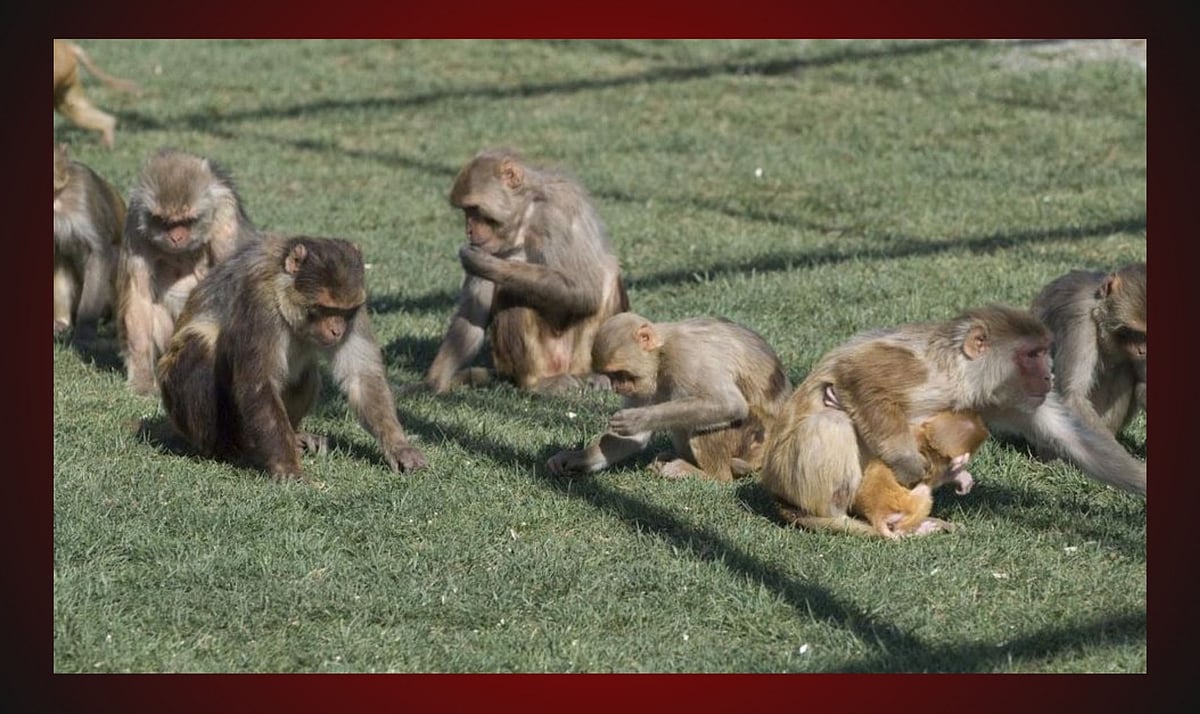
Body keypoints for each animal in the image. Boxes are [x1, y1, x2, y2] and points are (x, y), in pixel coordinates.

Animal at [118, 149, 258, 395]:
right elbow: (139, 297)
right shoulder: (136, 221)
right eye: (164, 221)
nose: (176, 237)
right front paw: (143, 378)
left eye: (188, 220)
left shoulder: (225, 218)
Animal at [157, 234, 428, 482]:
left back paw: (295, 436)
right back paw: (235, 449)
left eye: (343, 311)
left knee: (306, 373)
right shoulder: (260, 302)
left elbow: (361, 376)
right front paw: (287, 466)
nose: (337, 330)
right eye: (324, 308)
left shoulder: (357, 307)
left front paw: (399, 447)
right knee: (200, 345)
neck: (283, 291)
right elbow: (260, 384)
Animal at [423, 149, 630, 395]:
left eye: (474, 209)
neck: (526, 218)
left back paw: (585, 375)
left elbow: (586, 290)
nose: (469, 230)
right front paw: (432, 383)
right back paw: (534, 382)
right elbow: (473, 314)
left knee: (605, 274)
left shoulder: (560, 211)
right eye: (465, 211)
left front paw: (490, 266)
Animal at [546, 312, 792, 482]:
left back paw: (708, 475)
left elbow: (729, 404)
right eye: (611, 376)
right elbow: (632, 439)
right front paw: (574, 458)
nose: (617, 387)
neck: (661, 355)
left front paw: (639, 418)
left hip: (751, 440)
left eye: (621, 374)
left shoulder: (687, 356)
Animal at [850, 409, 988, 539]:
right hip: (908, 506)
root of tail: (876, 513)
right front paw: (958, 473)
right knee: (924, 491)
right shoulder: (934, 463)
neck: (926, 439)